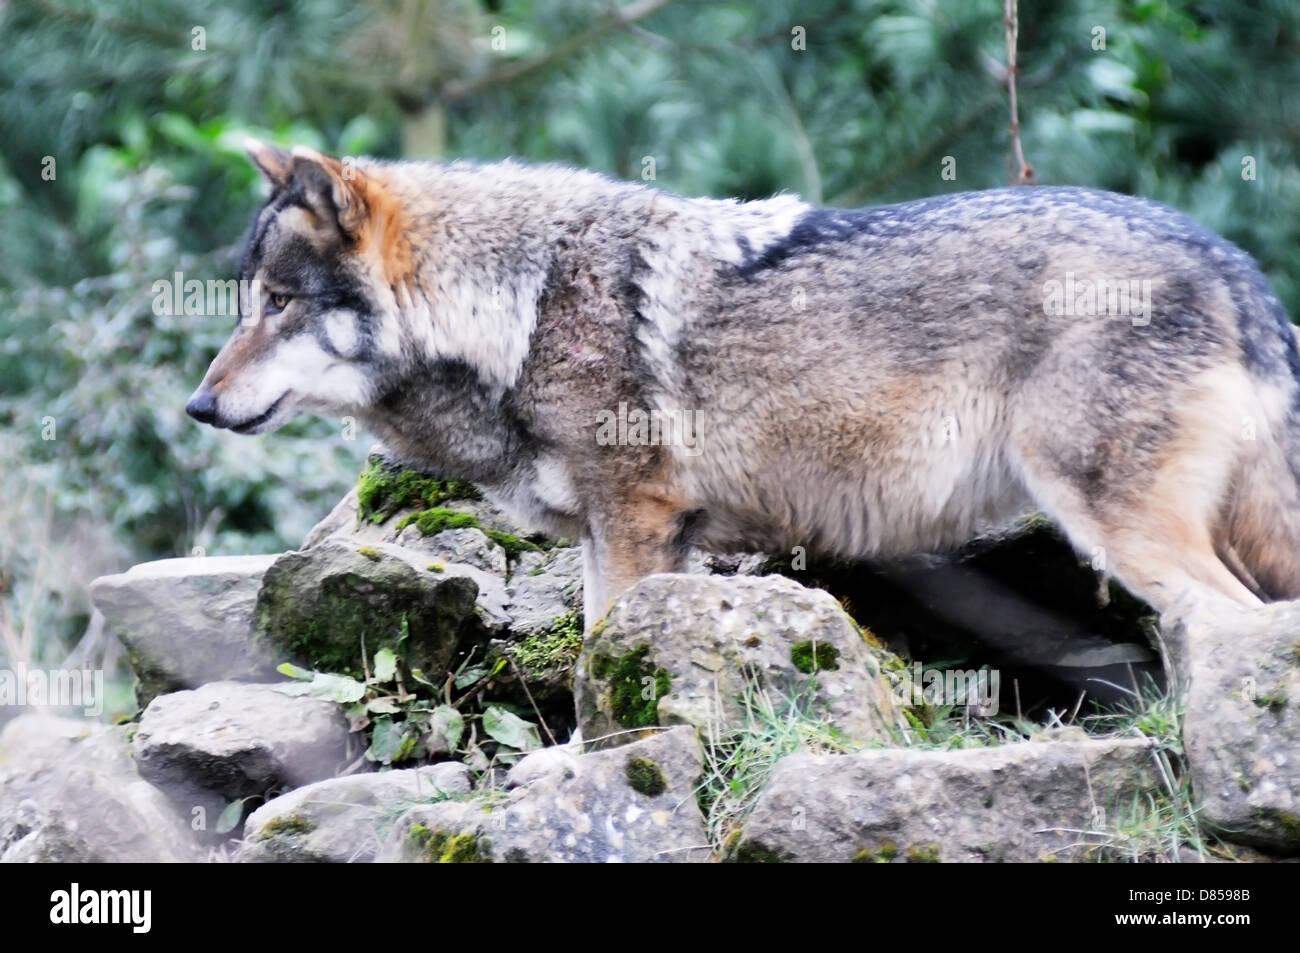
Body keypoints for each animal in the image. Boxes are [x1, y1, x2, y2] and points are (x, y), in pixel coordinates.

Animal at [187, 140, 1300, 629]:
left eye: (280, 301)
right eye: (246, 299)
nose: (199, 405)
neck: (520, 305)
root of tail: (1235, 265)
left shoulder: (635, 523)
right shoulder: (643, 538)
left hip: (1120, 527)